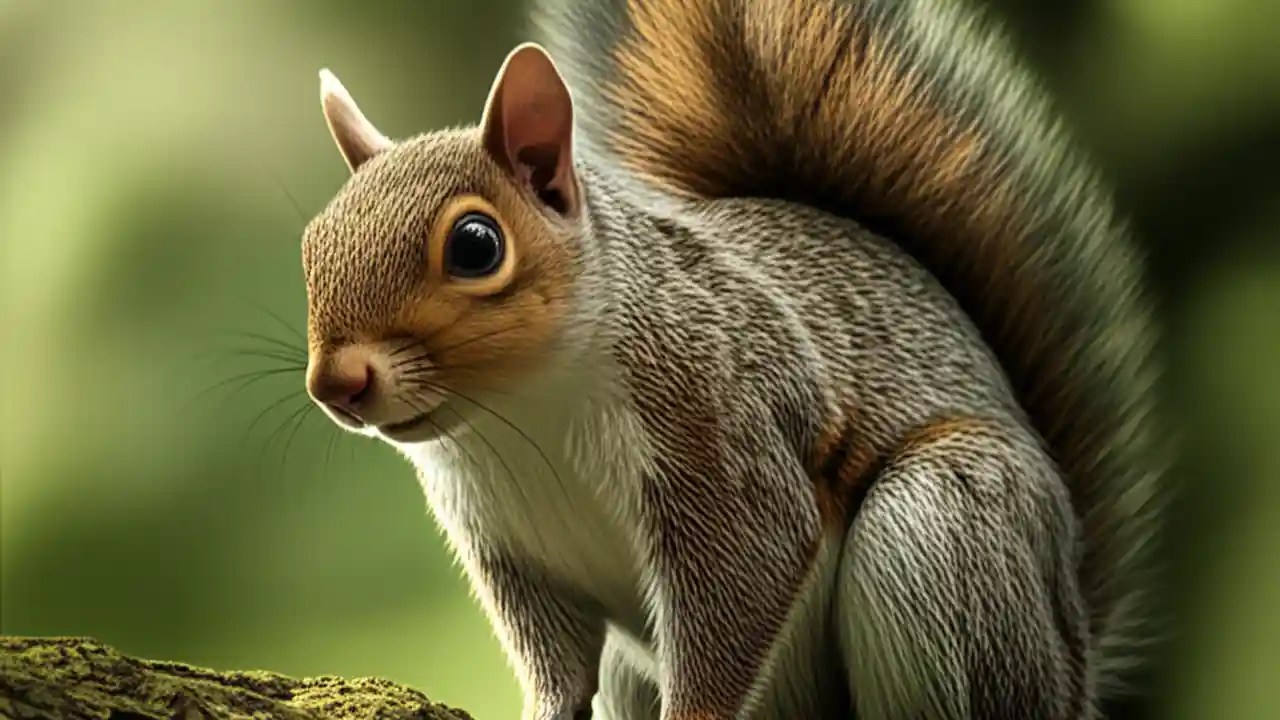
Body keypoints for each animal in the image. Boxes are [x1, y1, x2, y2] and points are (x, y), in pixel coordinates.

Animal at [299, 0, 1163, 717]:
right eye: (312, 243)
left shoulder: (722, 435)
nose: (335, 384)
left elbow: (744, 585)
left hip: (946, 531)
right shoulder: (514, 552)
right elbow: (558, 671)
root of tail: (1073, 654)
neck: (521, 416)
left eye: (476, 245)